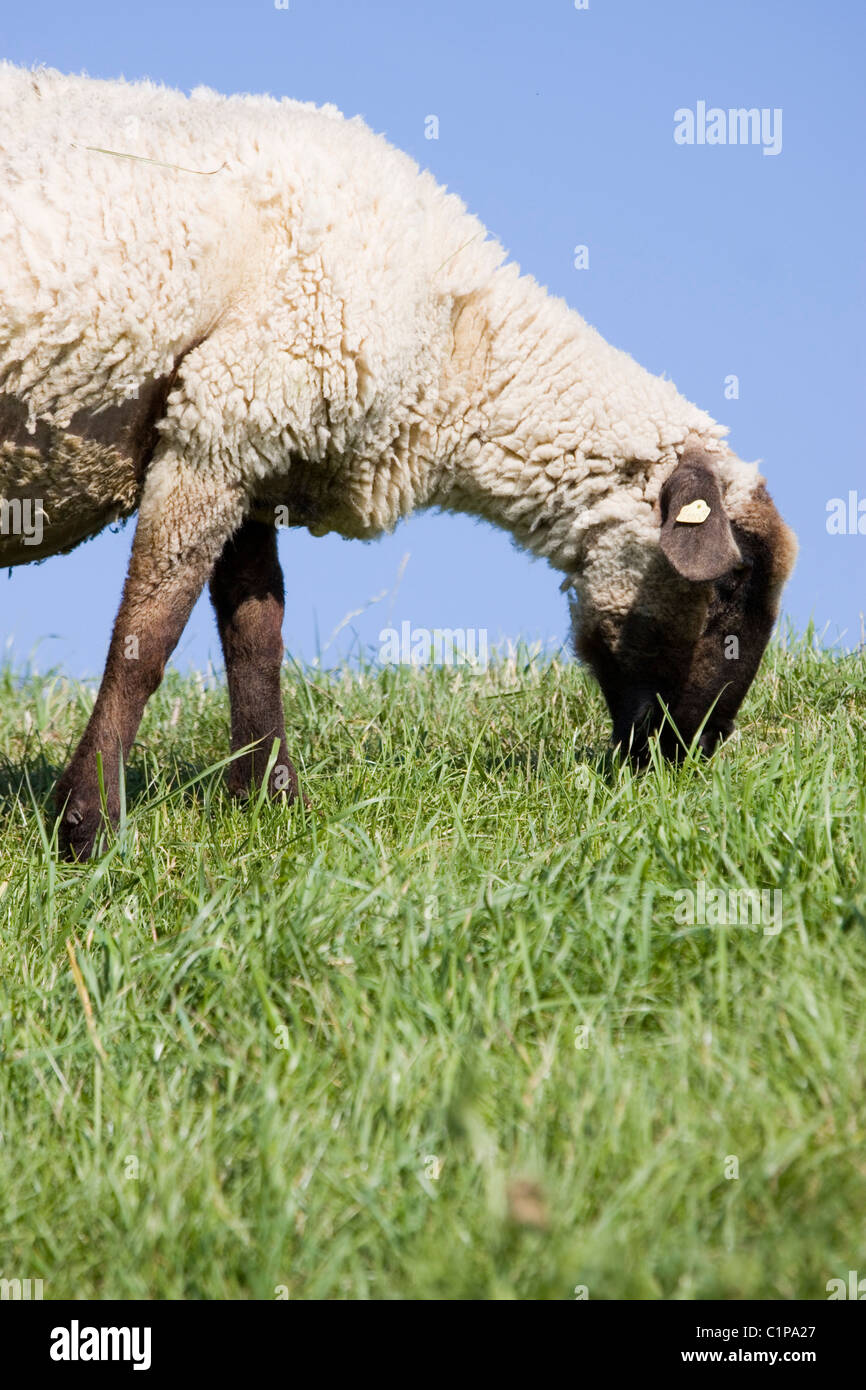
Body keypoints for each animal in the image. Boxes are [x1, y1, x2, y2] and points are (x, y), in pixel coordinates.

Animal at [0, 64, 797, 860]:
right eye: (731, 584)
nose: (692, 753)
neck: (457, 349)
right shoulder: (217, 425)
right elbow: (147, 639)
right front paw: (87, 827)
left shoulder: (249, 437)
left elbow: (256, 629)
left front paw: (268, 799)